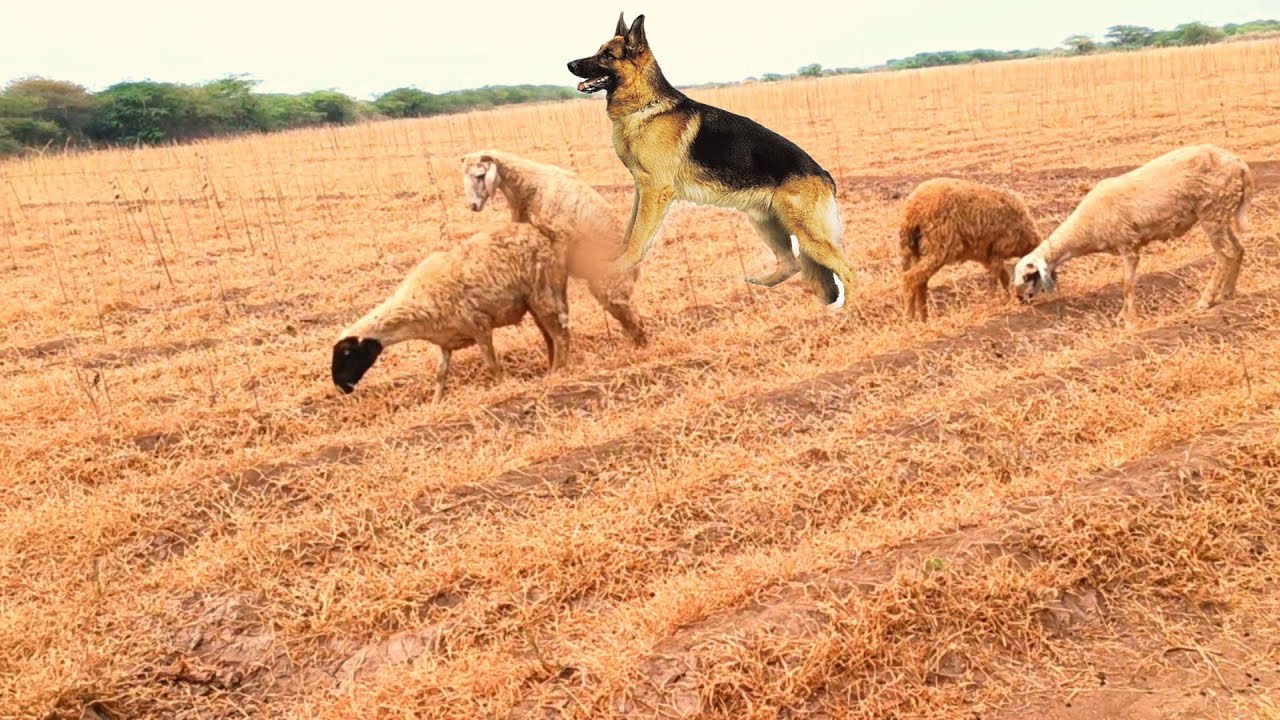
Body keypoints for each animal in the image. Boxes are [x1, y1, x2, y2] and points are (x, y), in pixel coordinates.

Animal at [331, 224, 570, 401]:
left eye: (347, 354)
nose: (341, 387)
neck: (414, 305)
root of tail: (541, 235)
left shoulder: (479, 326)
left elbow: (491, 364)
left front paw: (502, 387)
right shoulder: (445, 341)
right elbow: (441, 374)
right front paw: (435, 403)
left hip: (542, 292)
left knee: (560, 335)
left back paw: (558, 372)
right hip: (535, 301)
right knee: (551, 335)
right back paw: (553, 367)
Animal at [461, 149, 647, 346]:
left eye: (480, 175)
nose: (473, 206)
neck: (530, 185)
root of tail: (637, 269)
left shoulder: (559, 241)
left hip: (611, 284)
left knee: (628, 312)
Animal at [899, 178, 1041, 321]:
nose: (1027, 300)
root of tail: (912, 213)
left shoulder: (986, 255)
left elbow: (1003, 276)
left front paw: (1006, 298)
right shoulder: (998, 250)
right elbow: (995, 278)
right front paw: (994, 302)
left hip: (913, 251)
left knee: (919, 283)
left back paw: (923, 318)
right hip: (939, 248)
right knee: (909, 278)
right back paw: (909, 317)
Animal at [1013, 144, 1253, 324]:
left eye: (1028, 275)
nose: (1021, 299)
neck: (1083, 230)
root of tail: (1240, 164)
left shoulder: (1128, 245)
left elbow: (1127, 284)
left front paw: (1128, 319)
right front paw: (1123, 316)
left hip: (1212, 210)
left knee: (1225, 254)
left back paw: (1205, 301)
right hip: (1222, 212)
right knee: (1238, 248)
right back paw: (1226, 294)